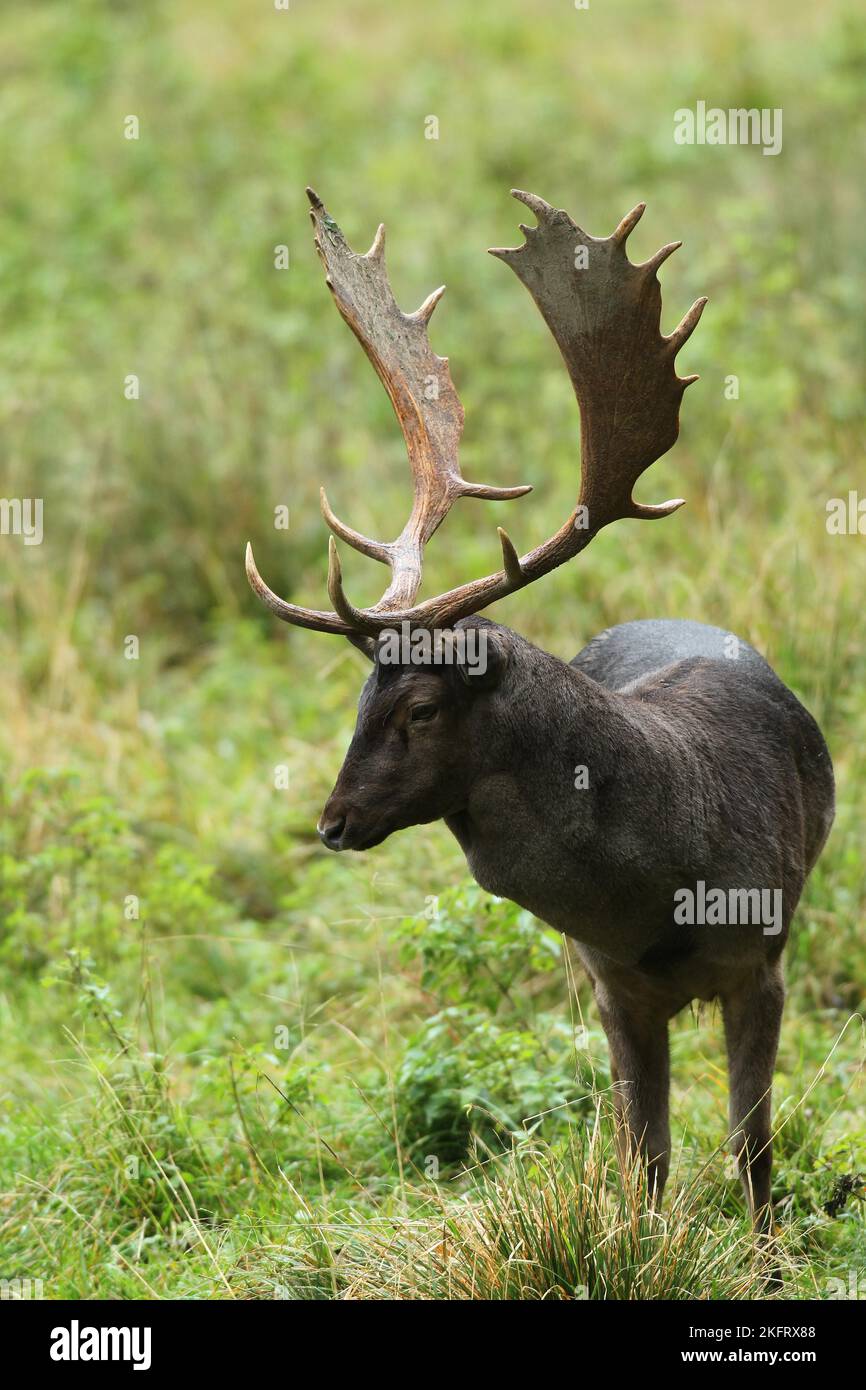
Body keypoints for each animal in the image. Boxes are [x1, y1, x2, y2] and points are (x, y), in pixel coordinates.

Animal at [246, 188, 835, 1235]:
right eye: (362, 694)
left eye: (421, 708)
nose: (333, 822)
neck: (667, 885)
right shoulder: (609, 983)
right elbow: (646, 1154)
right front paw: (642, 1248)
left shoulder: (762, 961)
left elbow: (752, 1147)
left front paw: (767, 1257)